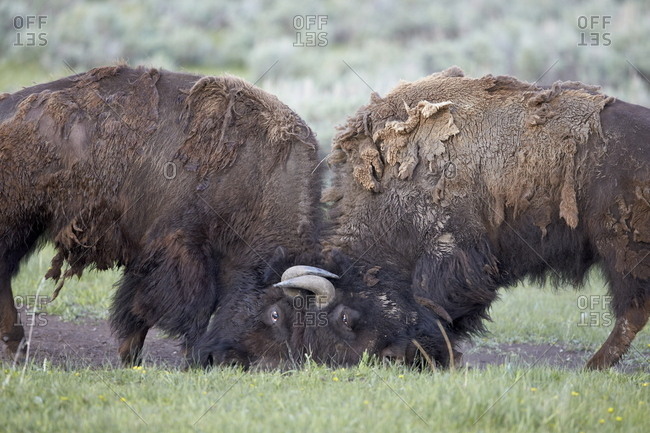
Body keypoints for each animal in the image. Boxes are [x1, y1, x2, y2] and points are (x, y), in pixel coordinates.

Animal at [324, 66, 650, 370]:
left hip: (619, 247)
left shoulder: (449, 250)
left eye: (345, 317)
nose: (390, 358)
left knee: (632, 310)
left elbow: (436, 302)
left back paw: (592, 365)